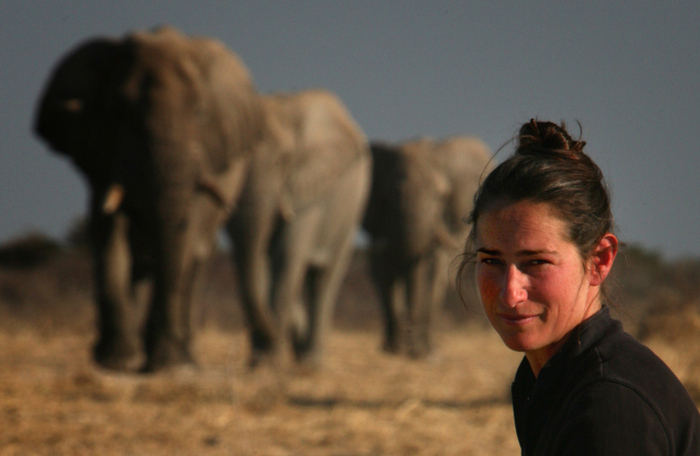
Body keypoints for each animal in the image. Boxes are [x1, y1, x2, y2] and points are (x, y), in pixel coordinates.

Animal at [34, 27, 265, 372]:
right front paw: (117, 361)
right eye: (118, 112)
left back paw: (182, 354)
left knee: (191, 263)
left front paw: (168, 364)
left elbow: (183, 244)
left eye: (200, 113)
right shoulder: (102, 162)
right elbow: (108, 235)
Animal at [226, 89, 372, 369]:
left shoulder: (308, 188)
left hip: (353, 206)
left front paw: (270, 363)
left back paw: (312, 363)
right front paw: (259, 364)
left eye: (283, 161)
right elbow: (258, 264)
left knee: (324, 279)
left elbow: (288, 257)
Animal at [362, 136, 491, 357]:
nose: (412, 350)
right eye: (388, 195)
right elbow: (383, 273)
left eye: (440, 197)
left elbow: (429, 273)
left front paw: (420, 351)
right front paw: (392, 350)